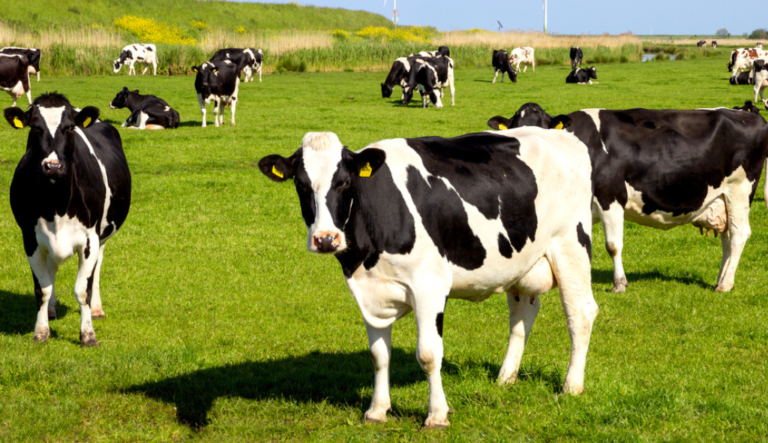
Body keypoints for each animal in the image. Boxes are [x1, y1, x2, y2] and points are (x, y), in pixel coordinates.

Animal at [3, 92, 131, 346]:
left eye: (70, 128)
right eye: (35, 127)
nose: (53, 166)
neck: (57, 204)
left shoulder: (90, 240)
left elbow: (83, 290)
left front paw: (88, 335)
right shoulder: (30, 239)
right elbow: (42, 289)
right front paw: (41, 331)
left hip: (102, 236)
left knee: (97, 268)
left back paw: (96, 309)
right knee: (51, 270)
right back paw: (52, 310)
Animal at [257, 129, 597, 428]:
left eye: (344, 182)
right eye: (301, 184)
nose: (326, 239)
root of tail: (562, 134)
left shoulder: (429, 287)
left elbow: (429, 354)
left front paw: (437, 415)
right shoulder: (369, 290)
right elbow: (379, 354)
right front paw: (377, 410)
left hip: (571, 245)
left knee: (580, 312)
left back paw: (571, 385)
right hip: (520, 262)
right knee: (522, 314)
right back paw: (505, 378)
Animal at [487, 103, 768, 293]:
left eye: (541, 129)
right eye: (514, 129)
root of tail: (749, 114)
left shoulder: (611, 196)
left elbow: (613, 245)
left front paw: (619, 284)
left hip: (741, 190)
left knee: (739, 234)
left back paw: (725, 284)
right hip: (722, 197)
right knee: (727, 238)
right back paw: (722, 278)